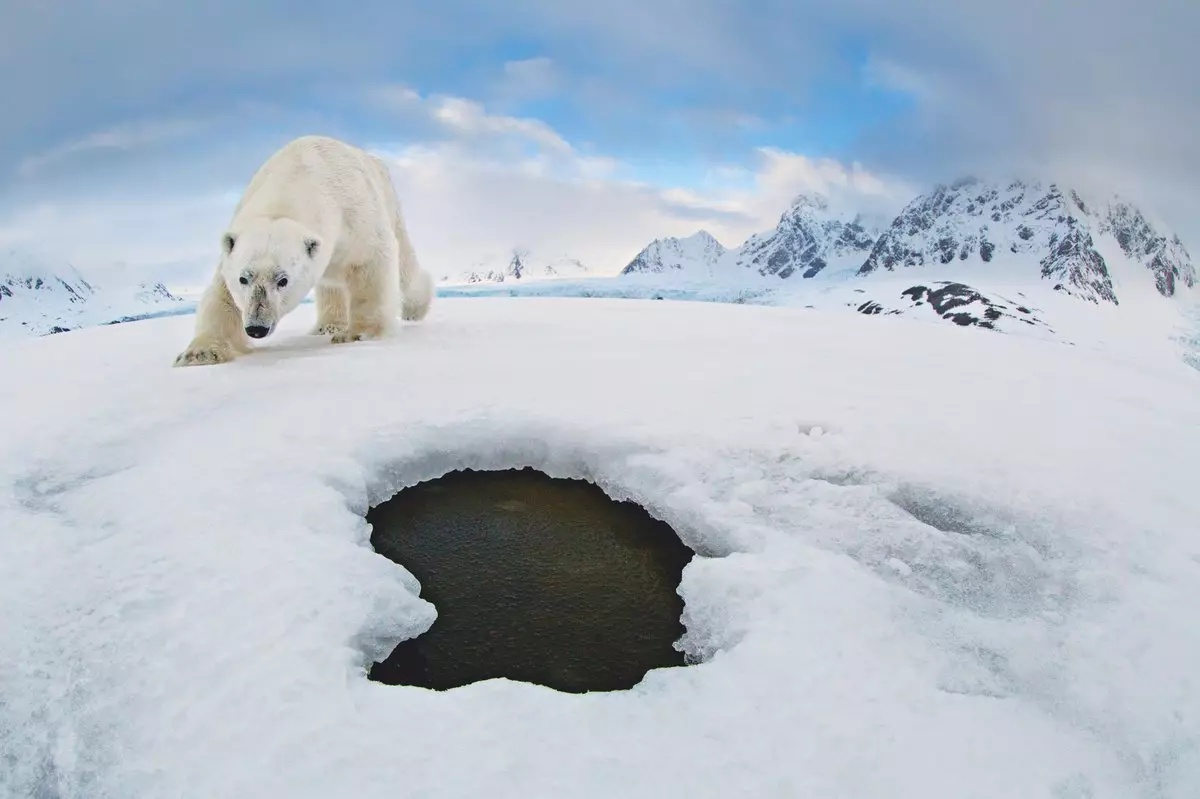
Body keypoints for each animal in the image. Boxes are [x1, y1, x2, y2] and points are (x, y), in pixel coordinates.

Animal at [169, 133, 432, 364]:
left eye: (283, 280)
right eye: (243, 278)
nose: (256, 327)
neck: (295, 177)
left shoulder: (354, 215)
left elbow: (370, 262)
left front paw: (358, 334)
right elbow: (222, 293)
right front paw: (199, 353)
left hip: (389, 203)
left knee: (405, 265)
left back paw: (414, 308)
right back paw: (328, 325)